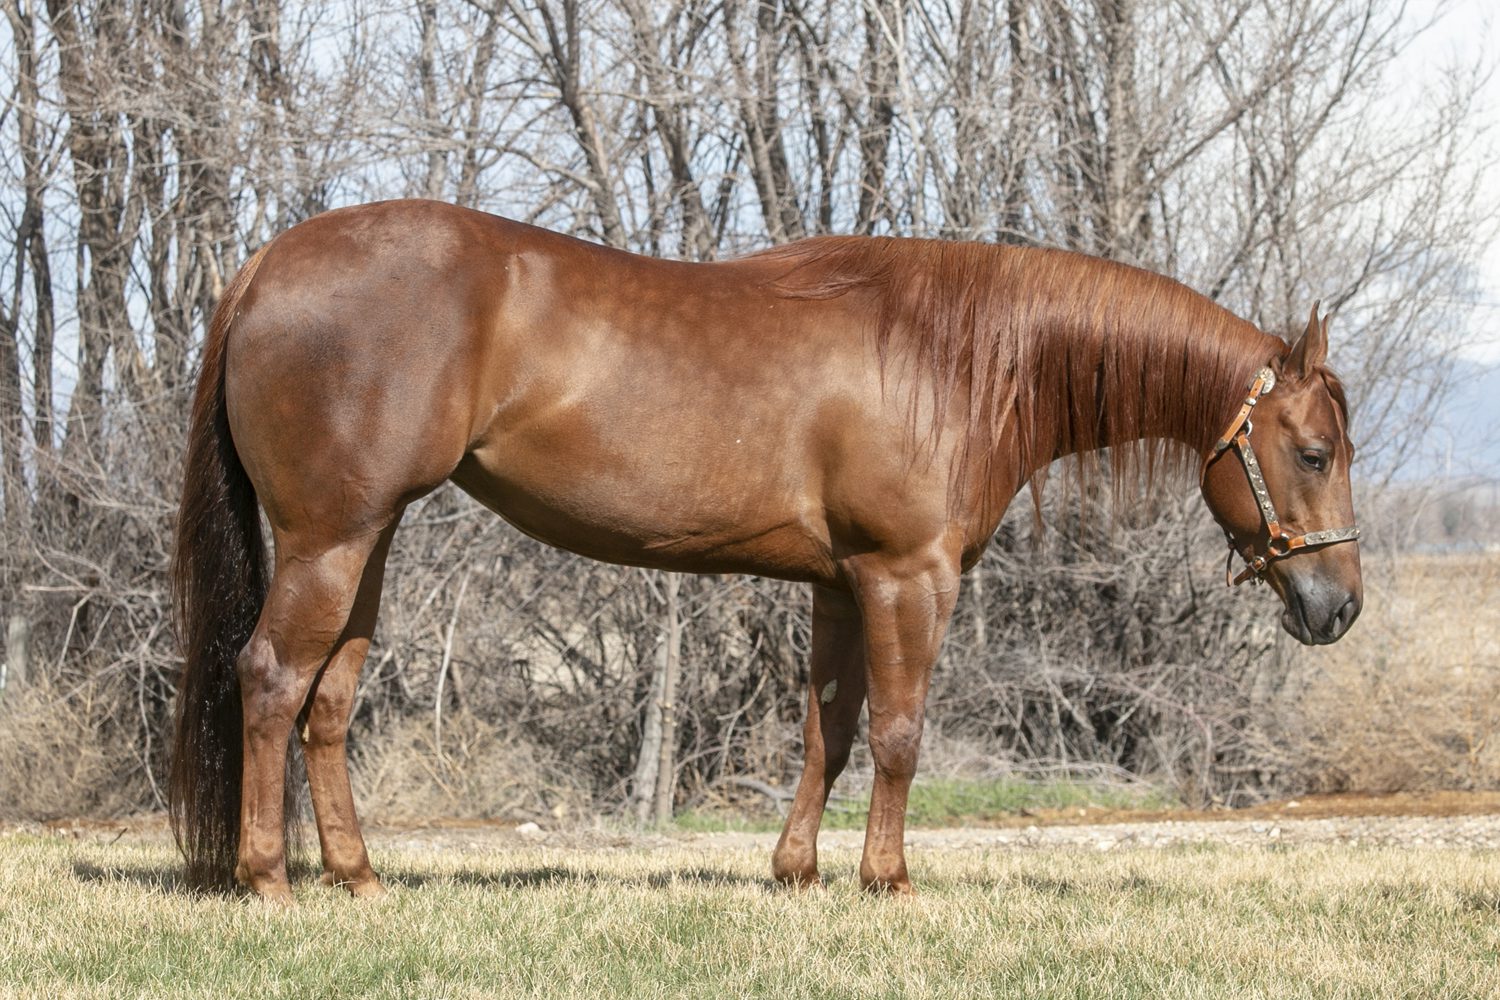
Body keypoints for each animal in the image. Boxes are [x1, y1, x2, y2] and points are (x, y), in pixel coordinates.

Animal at [169, 199, 1362, 902]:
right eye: (1311, 450)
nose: (1338, 605)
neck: (952, 360)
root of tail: (266, 266)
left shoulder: (840, 584)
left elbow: (826, 734)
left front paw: (796, 874)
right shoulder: (907, 577)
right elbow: (897, 735)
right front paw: (888, 882)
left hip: (366, 544)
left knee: (329, 701)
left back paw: (361, 880)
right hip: (329, 541)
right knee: (270, 680)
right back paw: (269, 882)